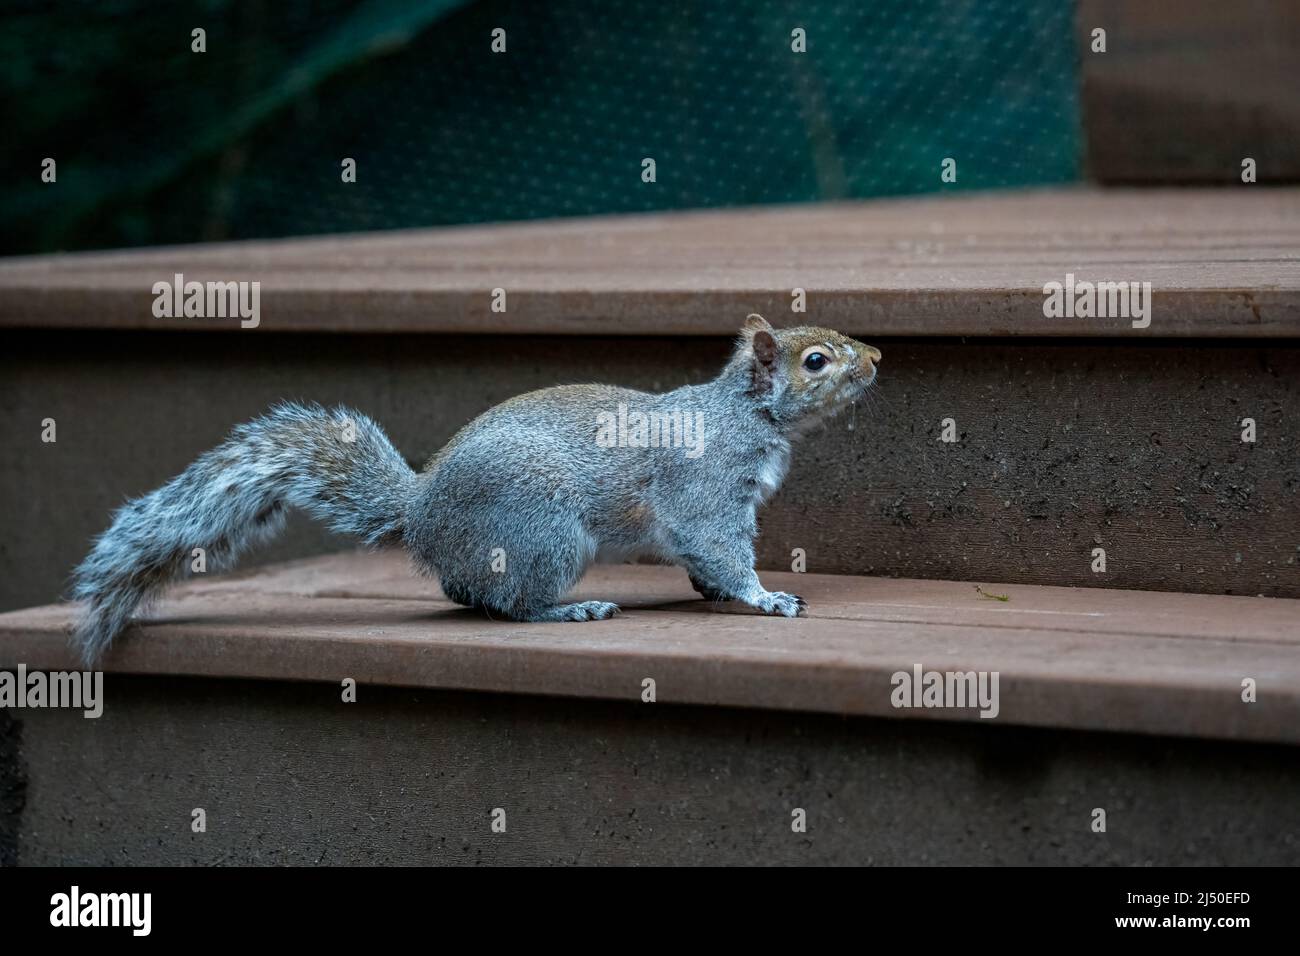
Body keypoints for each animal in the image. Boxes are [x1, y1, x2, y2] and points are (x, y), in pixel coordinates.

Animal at [69, 314, 880, 663]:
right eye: (815, 360)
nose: (876, 355)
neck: (743, 411)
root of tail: (421, 511)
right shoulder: (704, 487)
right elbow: (716, 546)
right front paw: (763, 597)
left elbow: (702, 557)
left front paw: (716, 591)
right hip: (543, 532)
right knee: (514, 606)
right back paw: (569, 609)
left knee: (473, 596)